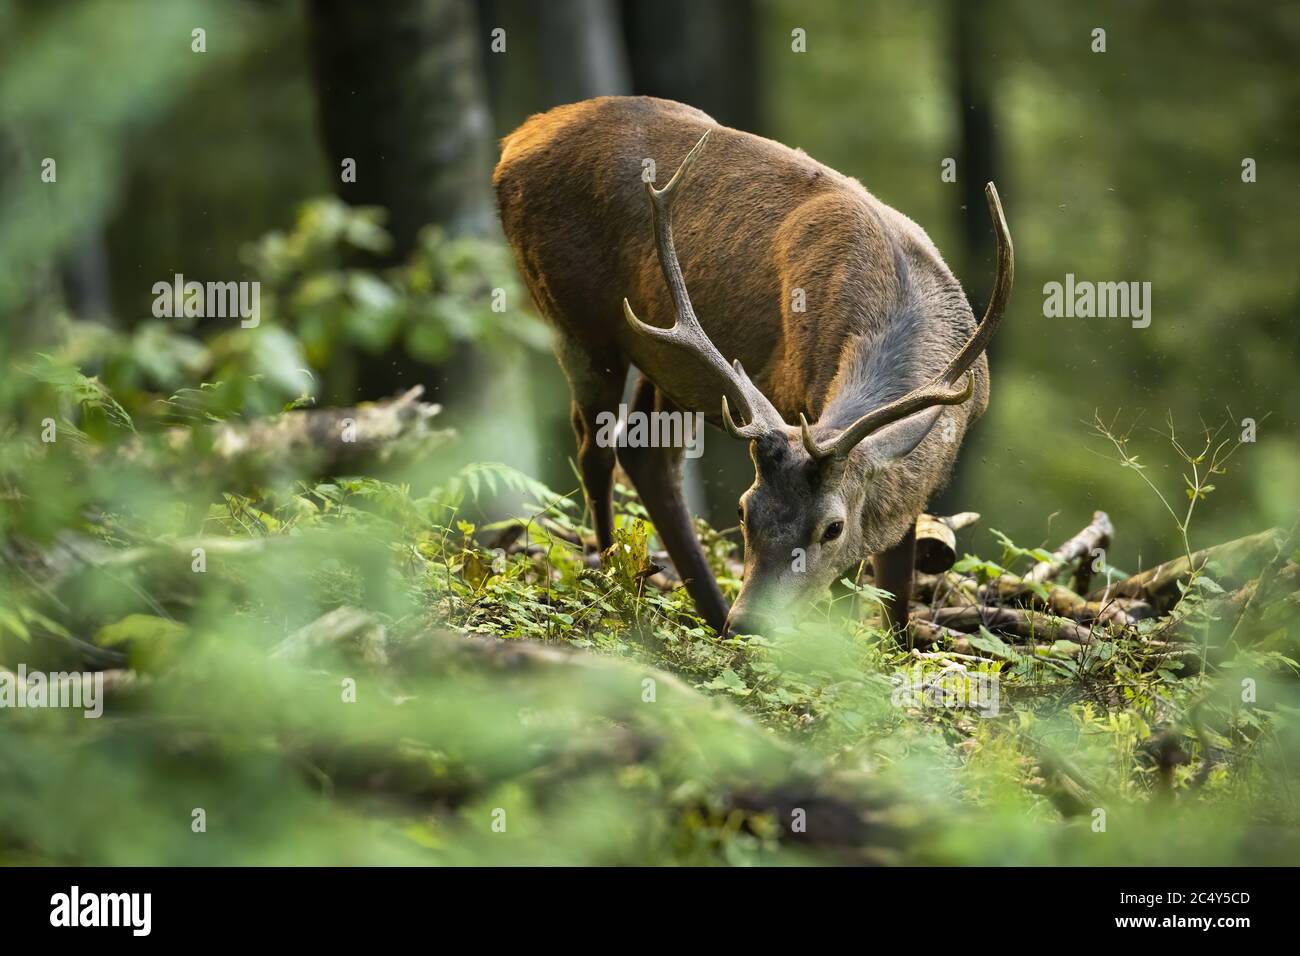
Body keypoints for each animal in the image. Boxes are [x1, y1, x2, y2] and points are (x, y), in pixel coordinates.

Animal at [493, 96, 1012, 637]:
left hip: (670, 363)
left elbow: (896, 588)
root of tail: (514, 142)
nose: (748, 621)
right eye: (745, 511)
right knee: (595, 448)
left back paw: (700, 605)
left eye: (833, 527)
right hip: (575, 318)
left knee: (646, 455)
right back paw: (614, 584)